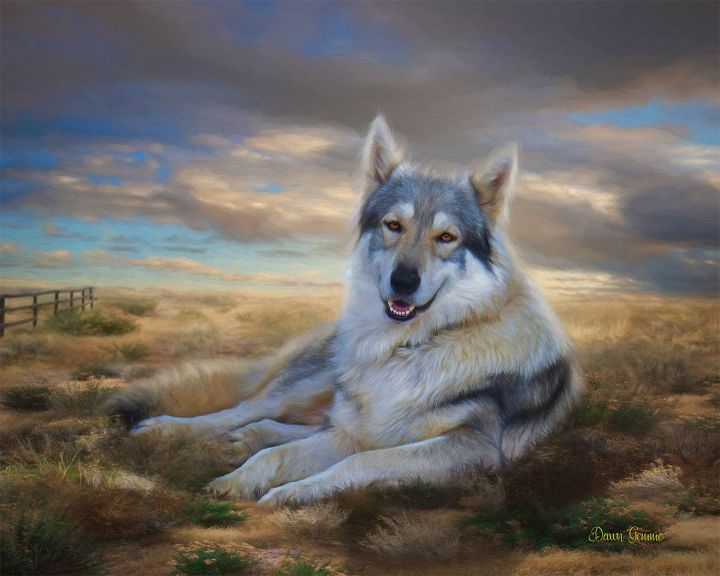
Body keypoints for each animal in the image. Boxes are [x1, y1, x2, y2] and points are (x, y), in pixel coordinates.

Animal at [107, 115, 582, 506]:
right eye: (393, 226)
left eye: (447, 237)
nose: (403, 282)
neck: (409, 348)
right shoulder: (359, 431)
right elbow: (279, 455)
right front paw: (240, 481)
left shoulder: (476, 449)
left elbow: (360, 461)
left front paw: (289, 493)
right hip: (311, 383)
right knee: (244, 410)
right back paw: (172, 428)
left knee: (284, 424)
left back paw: (243, 439)